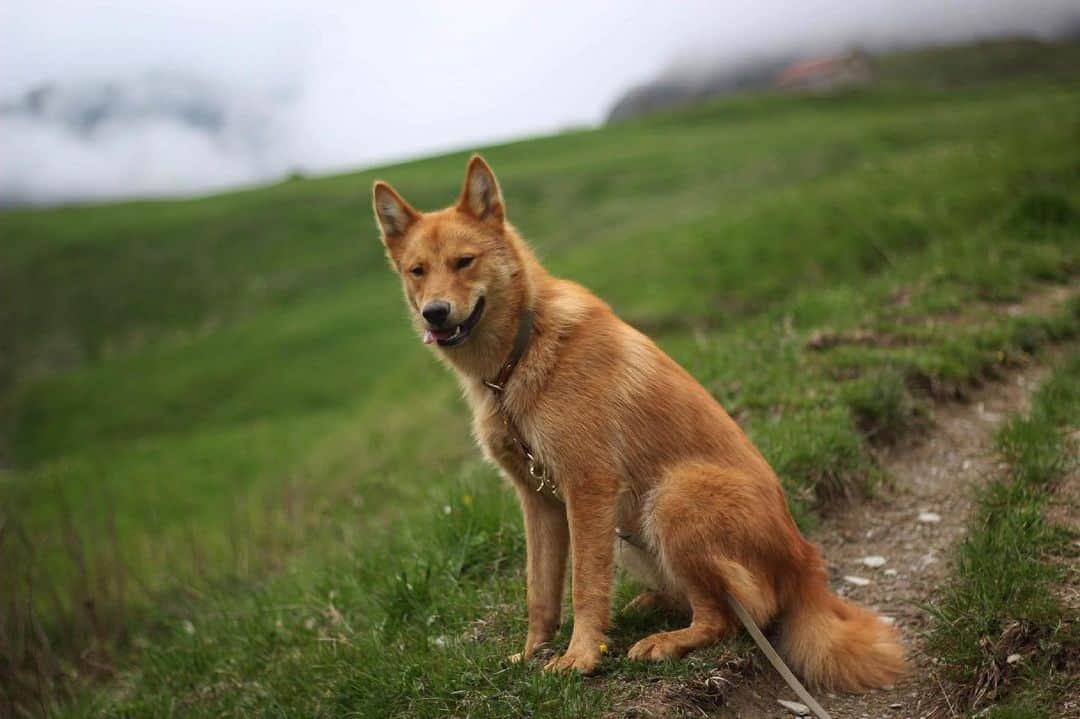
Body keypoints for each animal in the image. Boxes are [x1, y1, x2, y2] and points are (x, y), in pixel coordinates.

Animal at [370, 154, 907, 691]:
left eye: (465, 261)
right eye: (417, 271)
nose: (435, 313)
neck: (520, 353)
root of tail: (805, 563)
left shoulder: (588, 488)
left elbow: (585, 585)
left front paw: (581, 656)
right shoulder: (539, 502)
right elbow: (539, 593)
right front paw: (531, 654)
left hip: (673, 498)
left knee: (728, 617)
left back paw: (667, 640)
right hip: (629, 528)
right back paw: (654, 605)